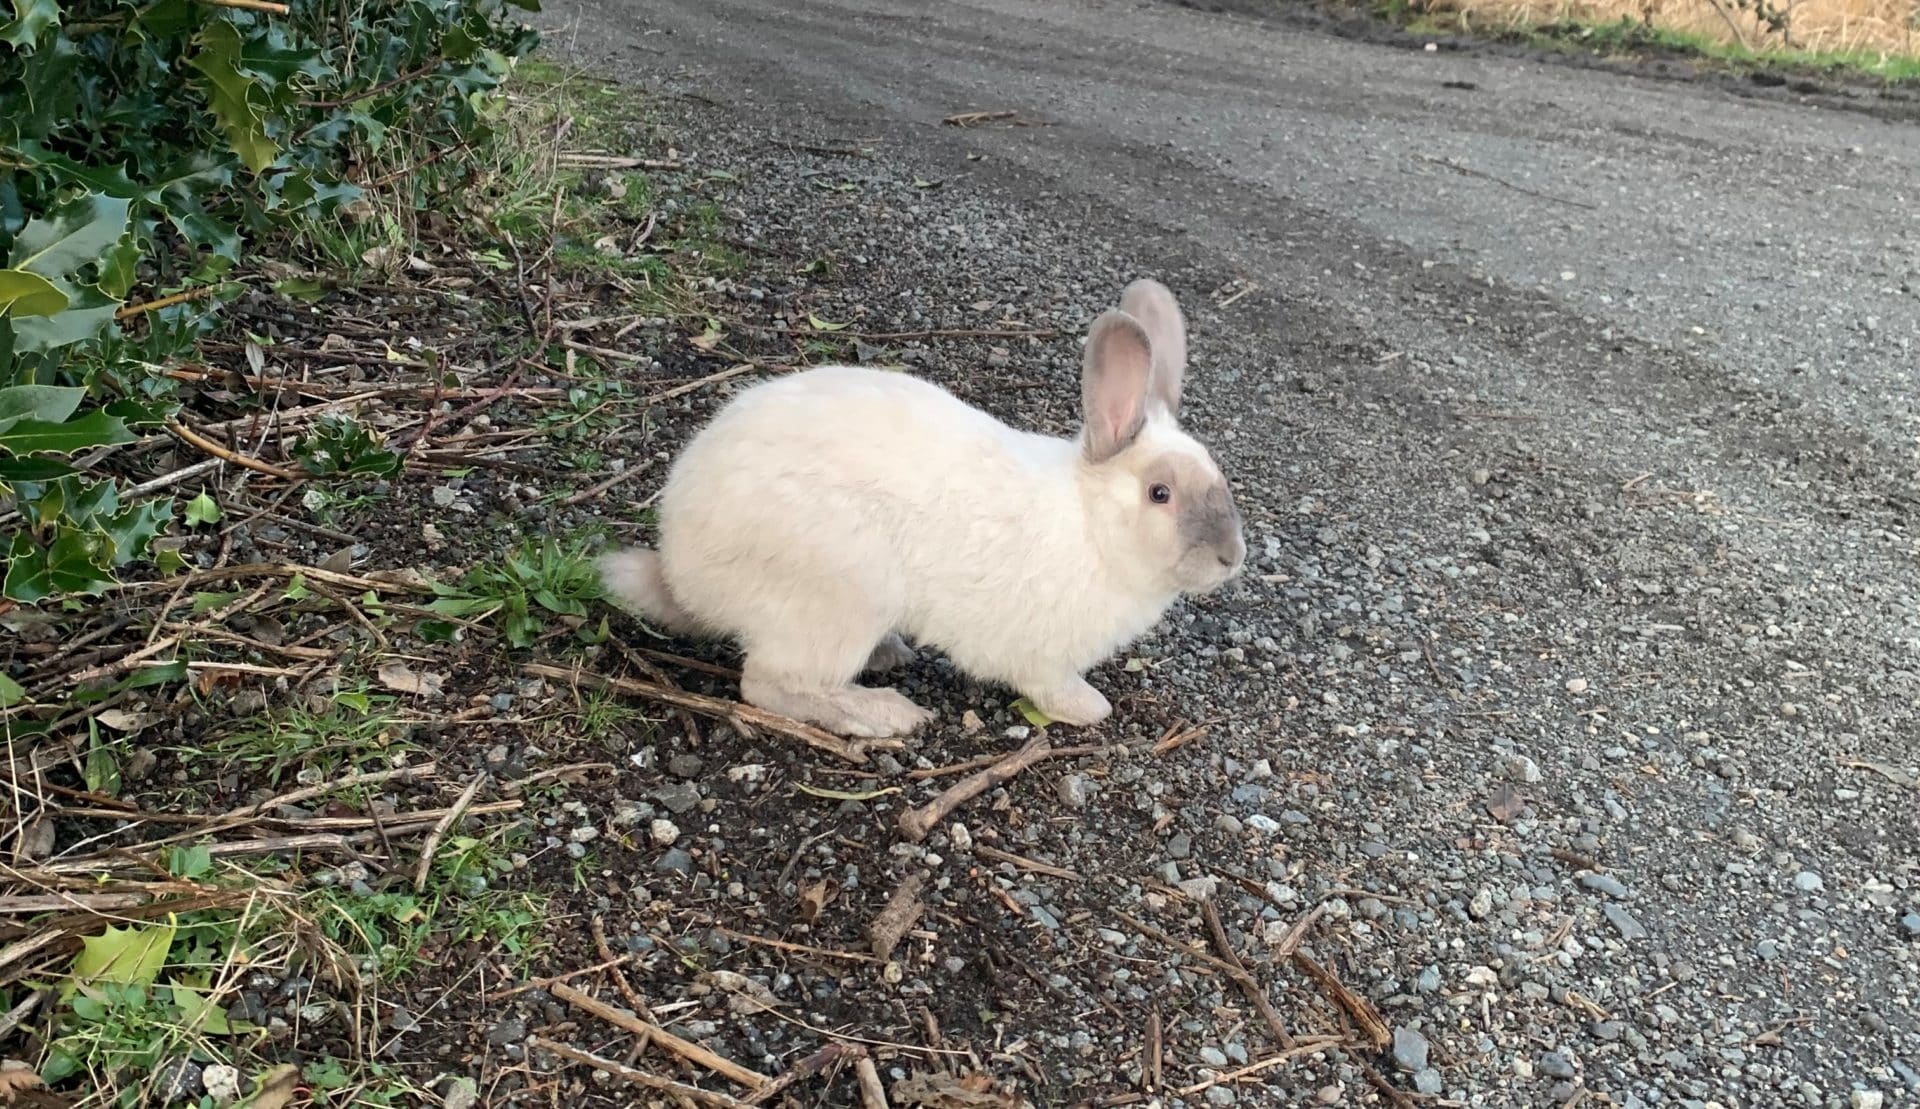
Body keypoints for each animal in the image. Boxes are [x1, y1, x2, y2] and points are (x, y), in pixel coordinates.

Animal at [598, 278, 1245, 739]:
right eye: (1160, 494)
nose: (1231, 557)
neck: (1091, 527)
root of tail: (681, 574)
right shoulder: (1041, 655)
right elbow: (1050, 685)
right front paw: (1090, 708)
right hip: (841, 595)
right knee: (769, 685)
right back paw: (886, 713)